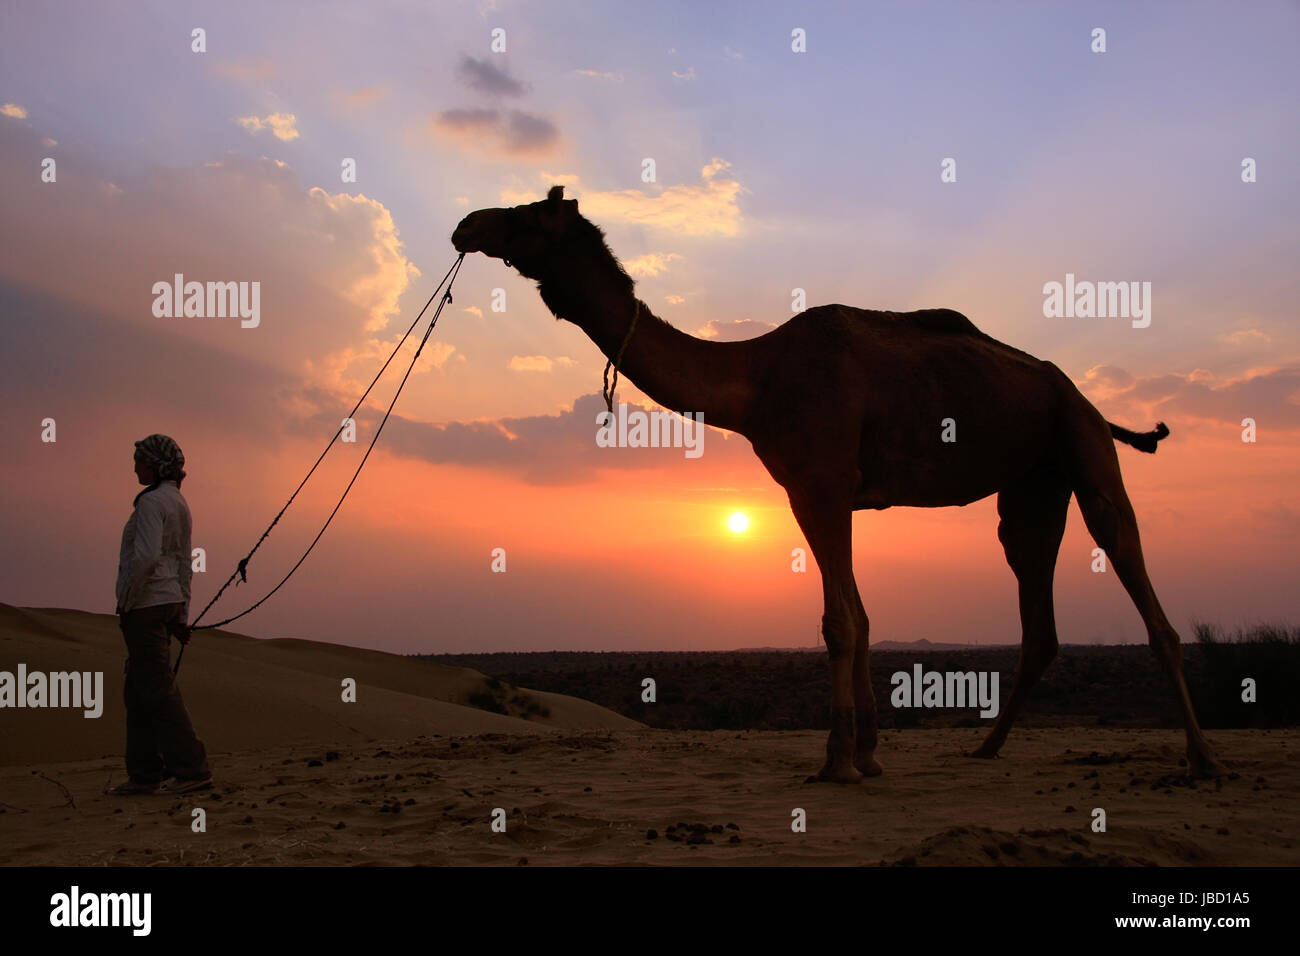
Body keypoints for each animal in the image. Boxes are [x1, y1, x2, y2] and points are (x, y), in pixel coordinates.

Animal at [451, 186, 1226, 783]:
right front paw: (871, 755)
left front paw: (837, 763)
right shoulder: (824, 489)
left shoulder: (819, 483)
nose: (466, 224)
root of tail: (1088, 399)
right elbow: (861, 613)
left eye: (526, 215)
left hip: (1082, 443)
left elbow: (838, 620)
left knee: (1136, 575)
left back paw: (1202, 761)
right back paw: (985, 749)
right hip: (1034, 485)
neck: (755, 381)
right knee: (1037, 610)